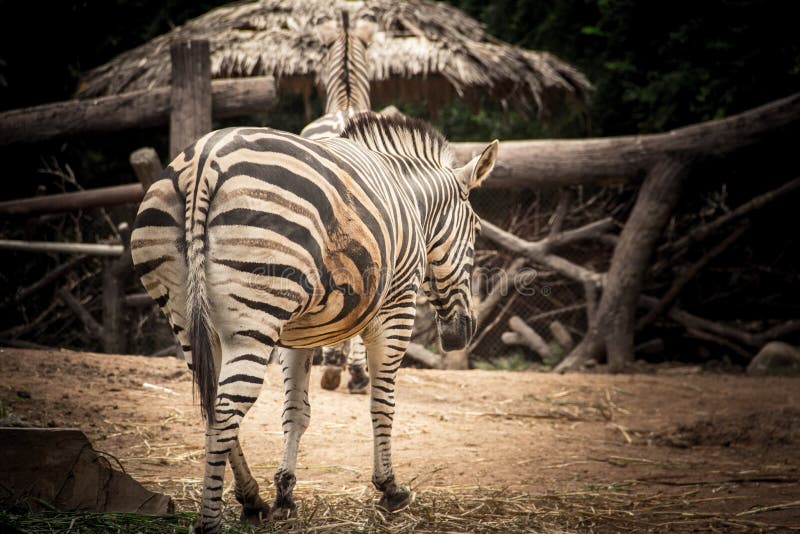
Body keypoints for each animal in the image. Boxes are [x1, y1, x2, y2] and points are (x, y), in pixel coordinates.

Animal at [131, 112, 498, 532]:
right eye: (477, 231)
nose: (460, 335)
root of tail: (204, 163)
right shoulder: (397, 307)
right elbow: (382, 403)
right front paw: (389, 488)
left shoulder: (299, 332)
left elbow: (296, 411)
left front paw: (284, 494)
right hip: (254, 320)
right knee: (225, 411)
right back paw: (211, 521)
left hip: (187, 316)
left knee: (211, 404)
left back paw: (252, 499)